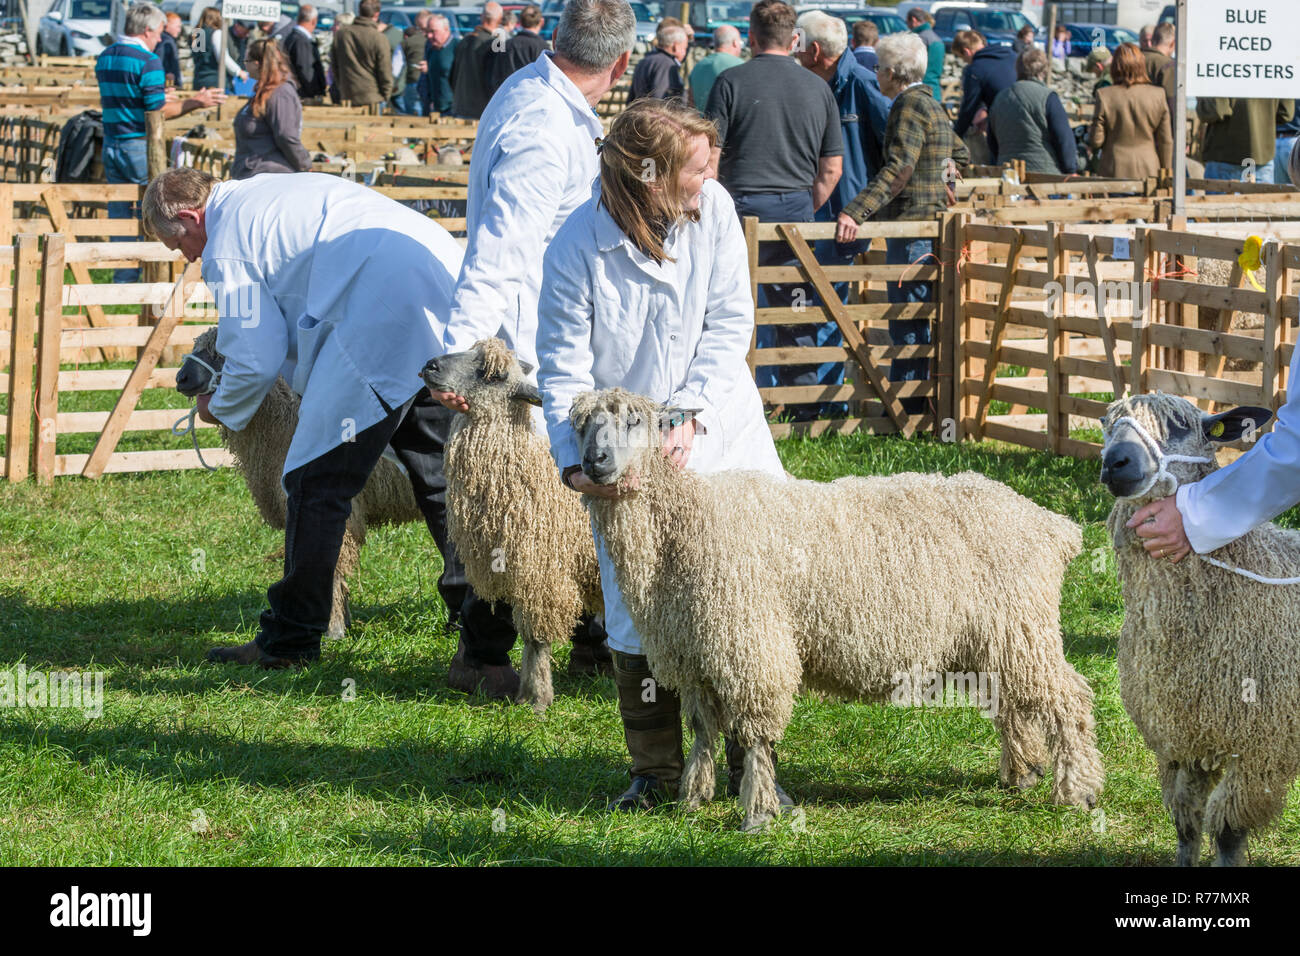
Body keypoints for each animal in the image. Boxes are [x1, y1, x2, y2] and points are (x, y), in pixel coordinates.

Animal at [176, 328, 422, 640]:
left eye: (221, 352)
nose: (181, 378)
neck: (283, 419)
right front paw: (342, 619)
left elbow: (332, 564)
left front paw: (333, 628)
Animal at [420, 339, 604, 714]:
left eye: (493, 375)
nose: (430, 364)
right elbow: (529, 640)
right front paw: (523, 696)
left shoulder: (542, 574)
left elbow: (537, 639)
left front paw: (539, 701)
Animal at [570, 387, 1105, 832]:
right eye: (580, 424)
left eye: (635, 420)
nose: (594, 461)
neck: (684, 522)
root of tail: (1052, 525)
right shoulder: (695, 654)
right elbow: (703, 731)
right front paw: (693, 799)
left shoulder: (750, 645)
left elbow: (753, 735)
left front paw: (759, 812)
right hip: (998, 636)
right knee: (1011, 699)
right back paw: (1022, 772)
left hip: (1024, 627)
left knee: (1070, 699)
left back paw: (1078, 790)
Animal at [1100, 392, 1300, 865]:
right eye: (1107, 424)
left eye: (1177, 427)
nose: (1115, 463)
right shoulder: (1181, 741)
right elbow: (1186, 823)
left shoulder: (1262, 750)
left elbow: (1226, 831)